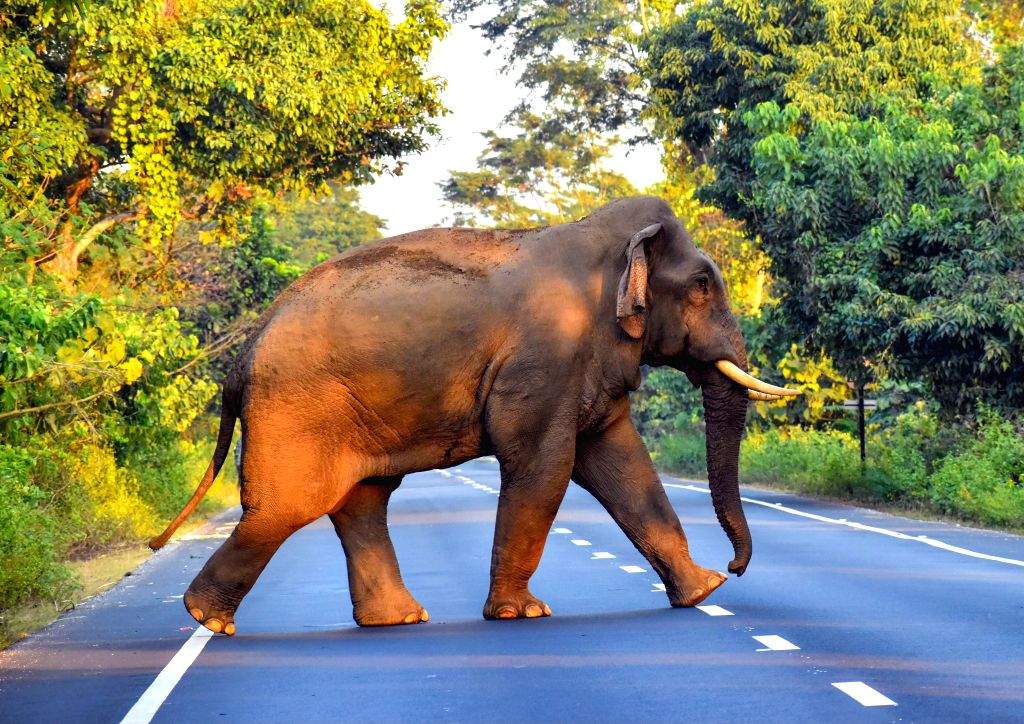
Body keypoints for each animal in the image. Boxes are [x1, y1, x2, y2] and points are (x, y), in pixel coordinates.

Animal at [149, 196, 798, 636]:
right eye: (701, 285)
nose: (737, 567)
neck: (596, 238)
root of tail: (243, 353)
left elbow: (621, 463)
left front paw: (701, 592)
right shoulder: (543, 361)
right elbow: (543, 465)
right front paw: (523, 613)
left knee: (360, 502)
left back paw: (397, 620)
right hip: (297, 409)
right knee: (289, 506)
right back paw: (209, 620)